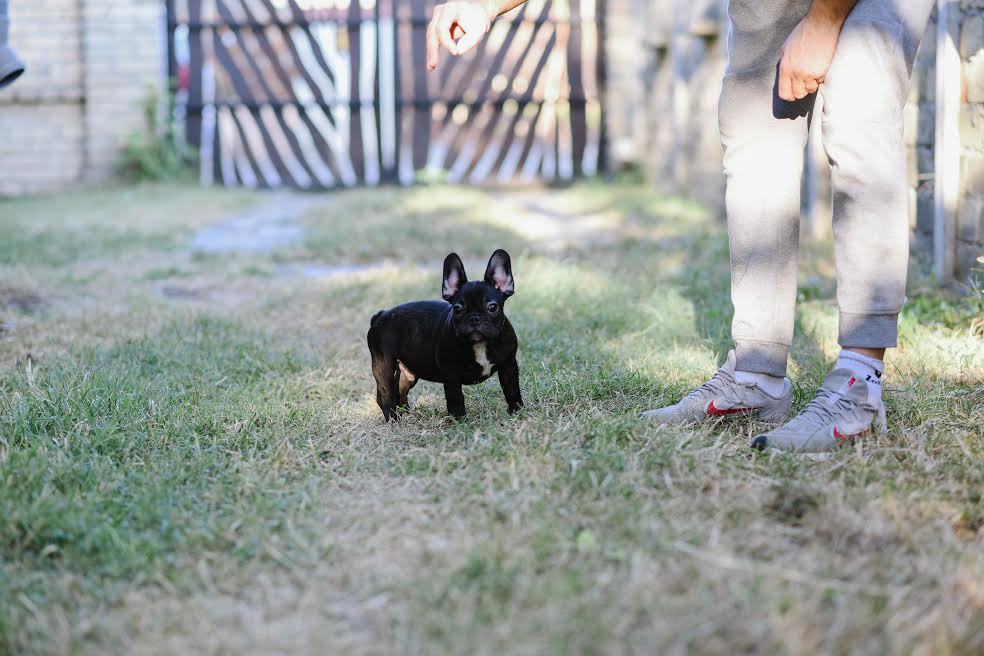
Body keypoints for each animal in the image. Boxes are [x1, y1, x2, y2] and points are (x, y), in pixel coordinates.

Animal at [368, 249, 524, 422]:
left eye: (492, 307)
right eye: (457, 309)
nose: (474, 318)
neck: (481, 344)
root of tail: (380, 315)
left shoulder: (508, 366)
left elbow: (512, 391)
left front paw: (517, 413)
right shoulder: (452, 376)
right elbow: (456, 399)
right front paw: (461, 422)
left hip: (409, 371)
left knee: (399, 390)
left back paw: (407, 414)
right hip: (384, 365)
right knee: (386, 394)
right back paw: (394, 421)